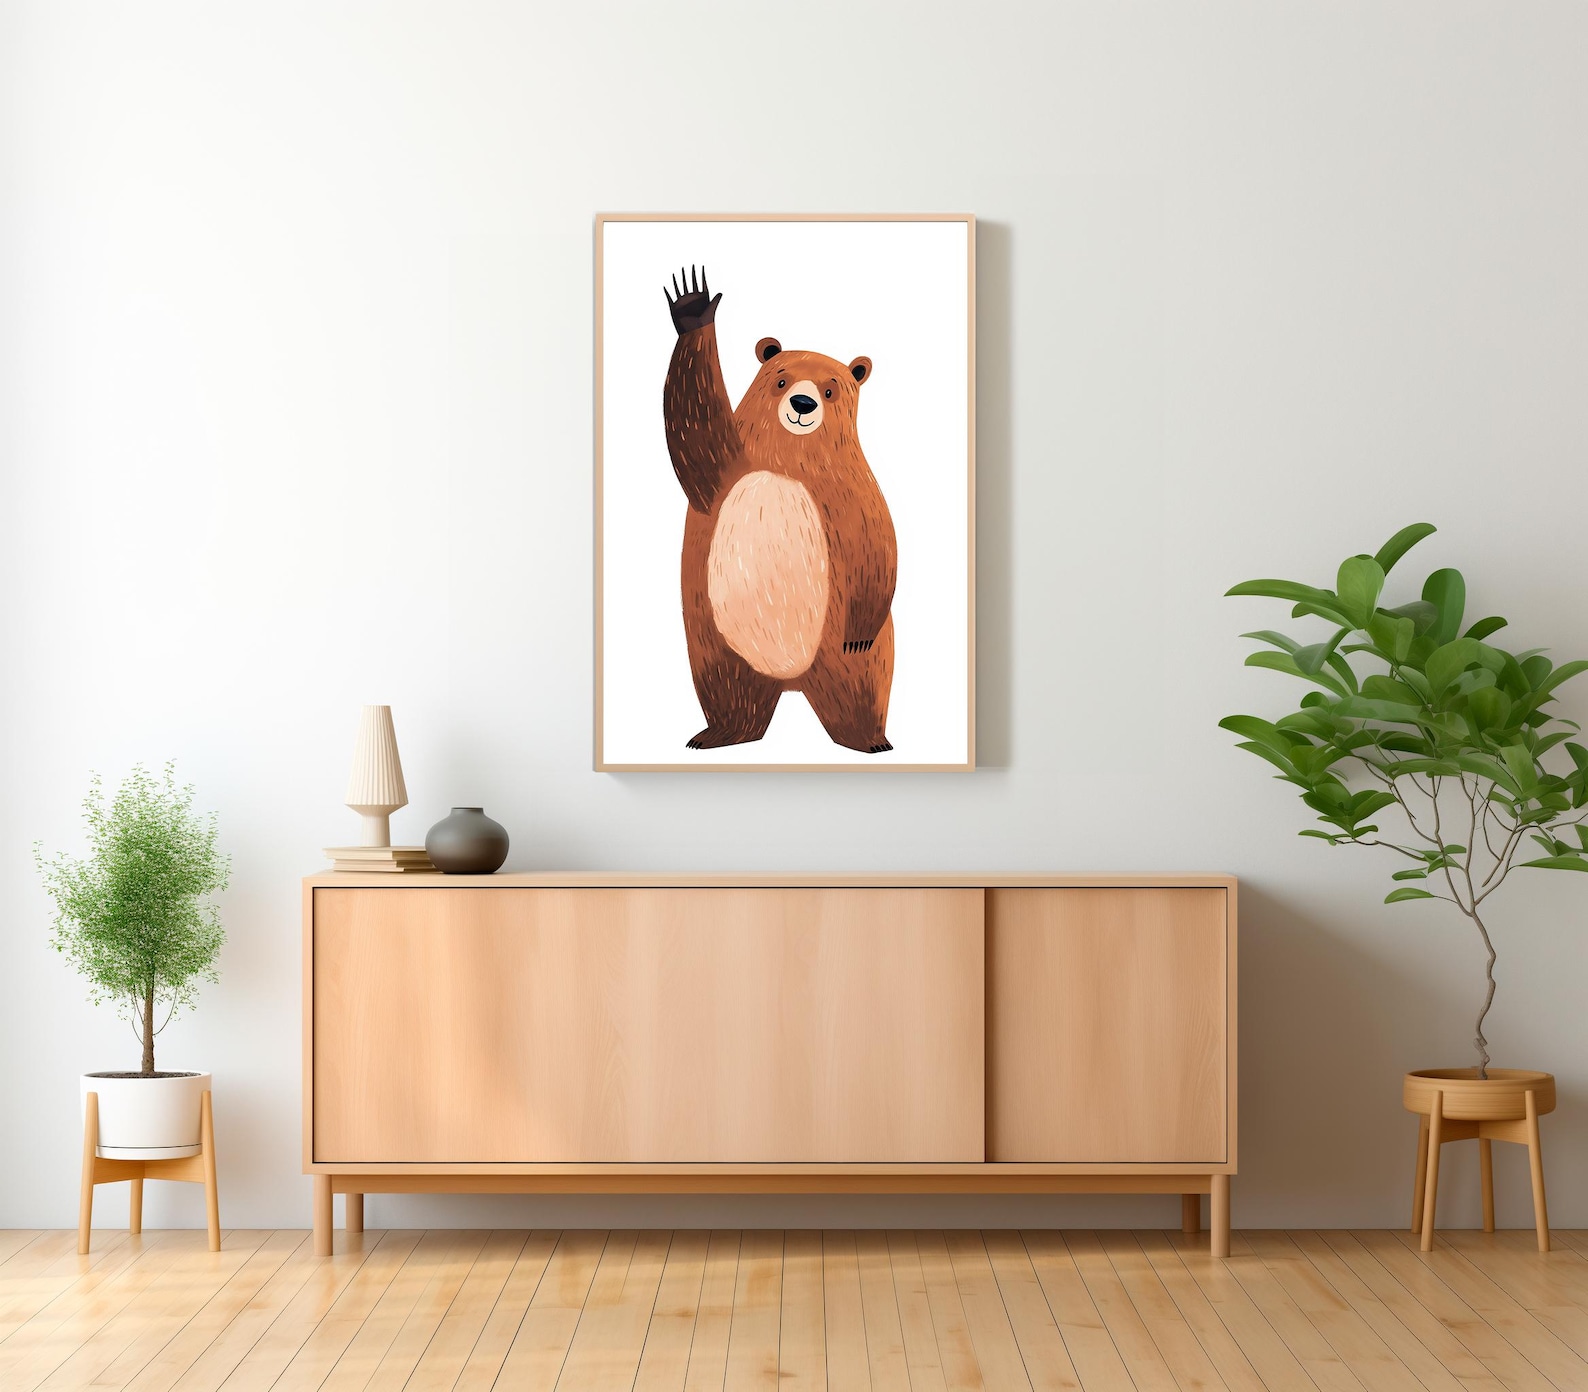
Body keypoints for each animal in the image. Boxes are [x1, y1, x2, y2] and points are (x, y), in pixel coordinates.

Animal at [662, 265, 897, 753]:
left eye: (831, 389)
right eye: (781, 379)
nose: (803, 405)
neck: (789, 463)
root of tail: (792, 682)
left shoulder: (849, 488)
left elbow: (876, 540)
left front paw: (862, 627)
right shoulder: (730, 466)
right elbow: (697, 432)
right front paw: (694, 307)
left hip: (840, 654)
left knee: (859, 688)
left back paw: (870, 740)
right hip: (717, 643)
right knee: (730, 692)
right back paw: (717, 734)